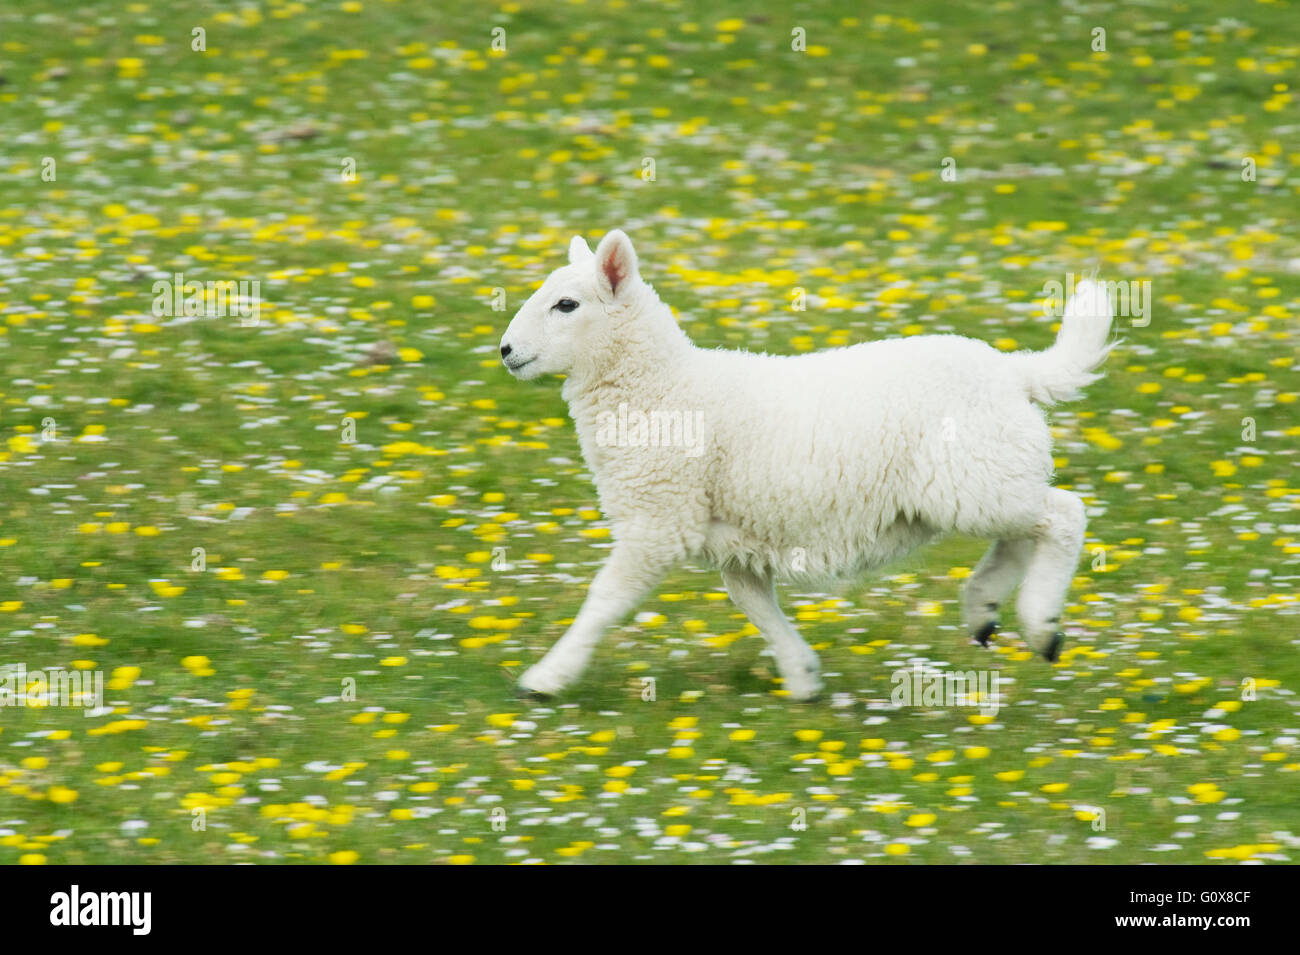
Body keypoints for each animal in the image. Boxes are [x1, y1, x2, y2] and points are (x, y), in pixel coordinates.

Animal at [499, 229, 1114, 700]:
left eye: (567, 305)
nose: (504, 351)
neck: (665, 386)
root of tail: (1013, 372)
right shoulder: (733, 534)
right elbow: (755, 605)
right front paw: (802, 676)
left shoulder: (659, 520)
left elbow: (604, 600)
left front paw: (547, 677)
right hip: (982, 480)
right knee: (1022, 533)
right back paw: (985, 607)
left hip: (976, 477)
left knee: (1063, 515)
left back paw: (1041, 623)